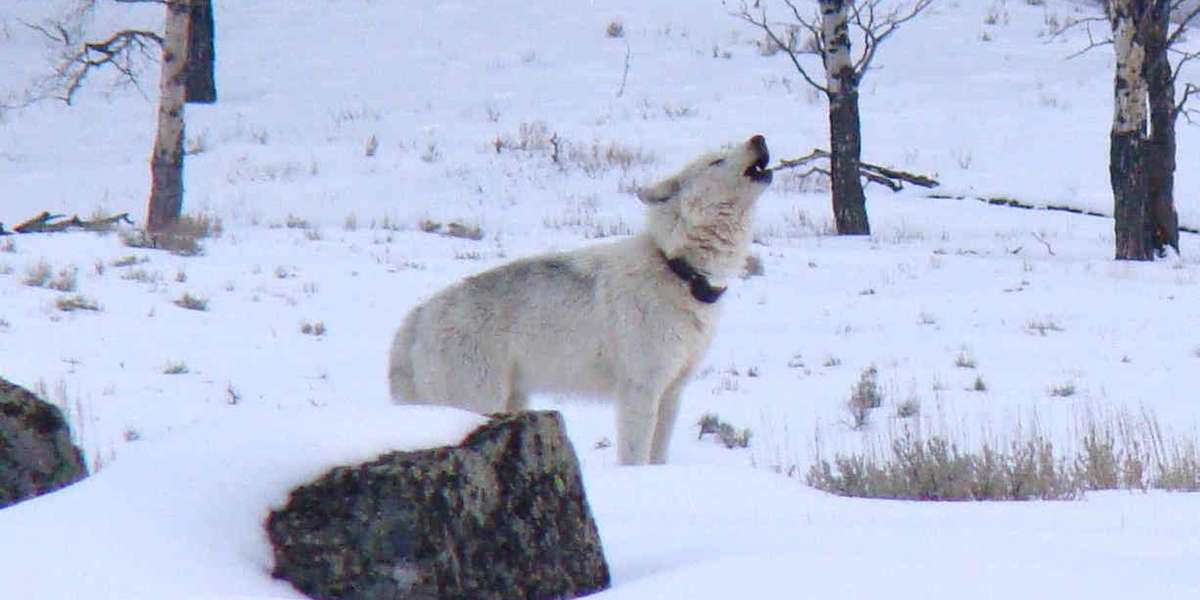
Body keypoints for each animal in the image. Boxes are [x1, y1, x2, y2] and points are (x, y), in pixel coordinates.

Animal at [389, 135, 772, 465]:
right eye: (716, 160)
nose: (760, 138)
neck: (678, 269)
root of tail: (417, 317)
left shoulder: (672, 392)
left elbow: (658, 457)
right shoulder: (640, 390)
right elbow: (634, 457)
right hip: (479, 401)